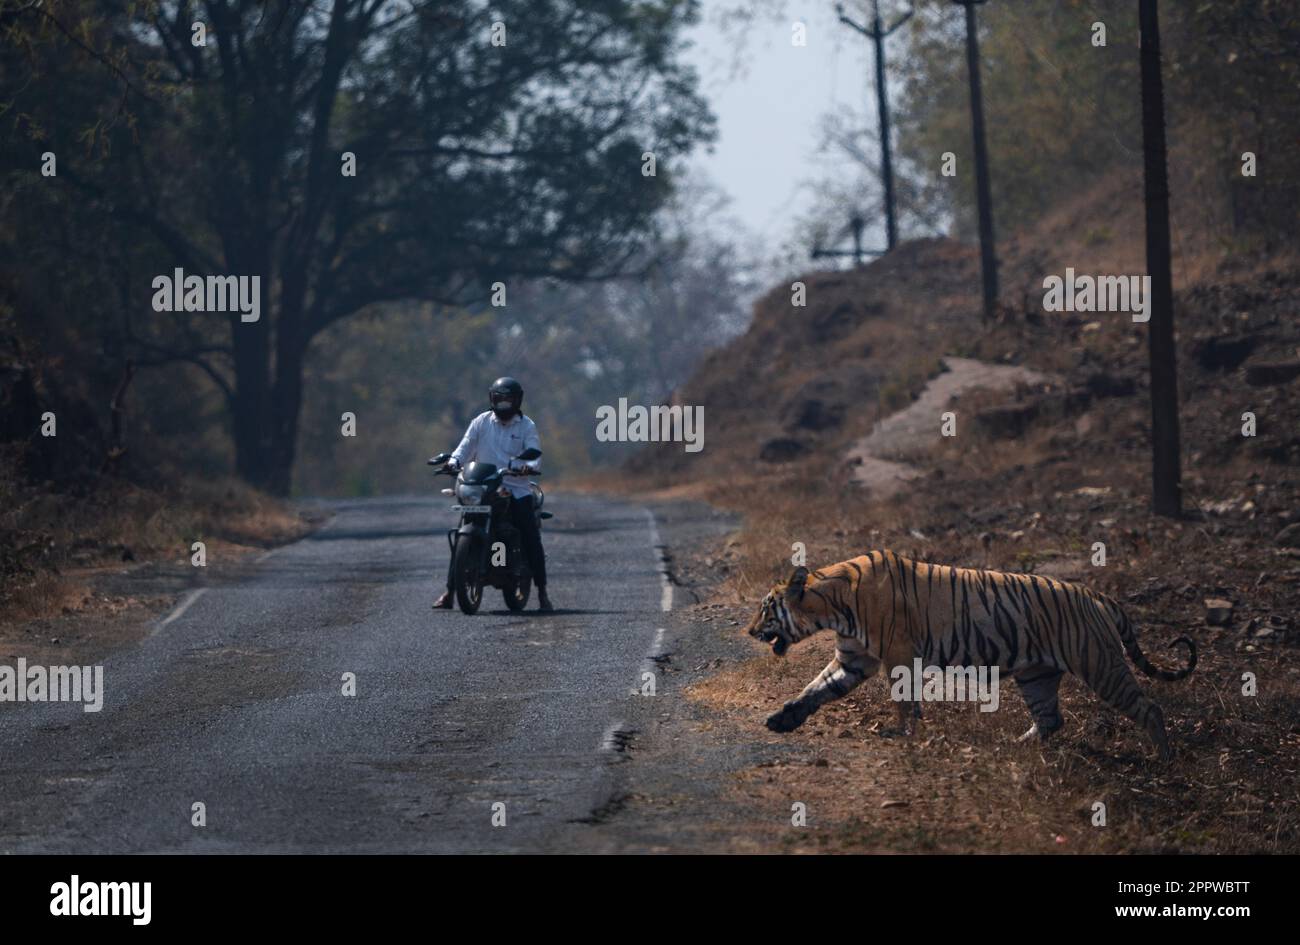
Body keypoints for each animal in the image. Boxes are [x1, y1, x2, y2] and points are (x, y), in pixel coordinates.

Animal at [744, 552, 1197, 760]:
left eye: (766, 609)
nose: (748, 631)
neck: (831, 605)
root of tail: (1095, 595)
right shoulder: (855, 659)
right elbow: (816, 688)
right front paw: (782, 720)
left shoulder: (897, 655)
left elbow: (903, 701)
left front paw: (900, 733)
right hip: (1036, 674)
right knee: (1051, 719)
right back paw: (1016, 745)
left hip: (1100, 664)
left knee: (1149, 707)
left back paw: (1163, 758)